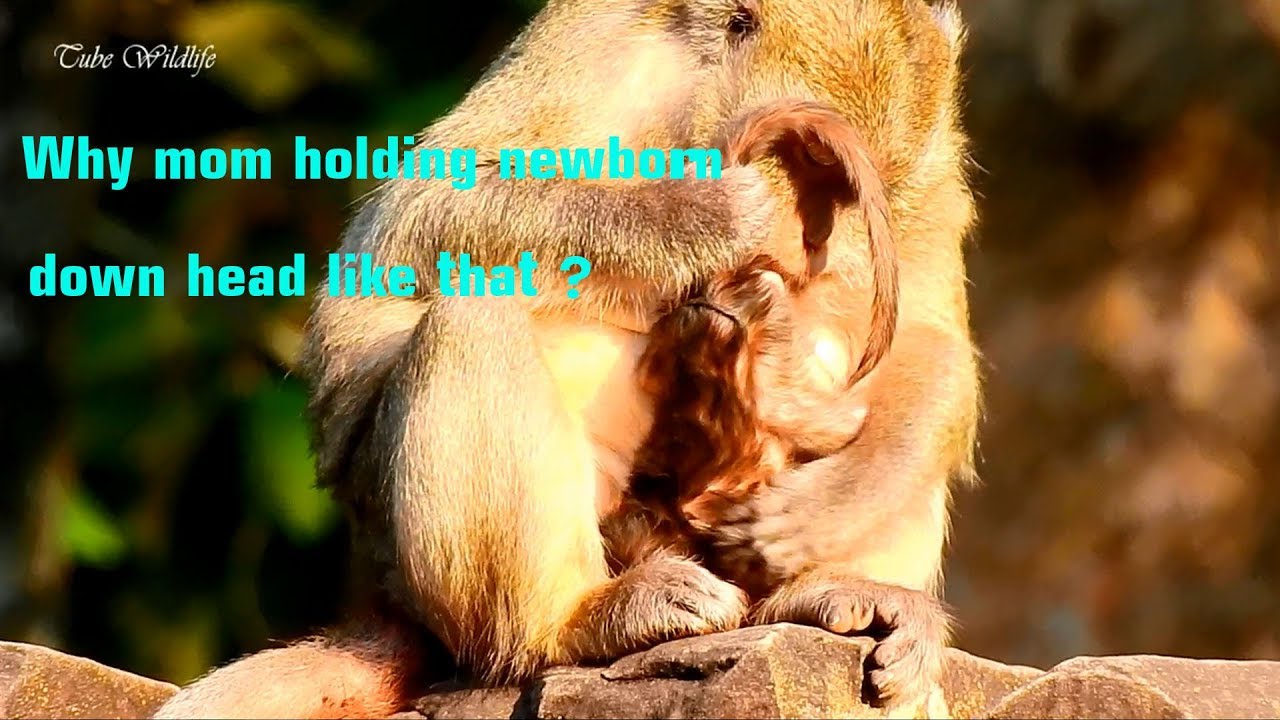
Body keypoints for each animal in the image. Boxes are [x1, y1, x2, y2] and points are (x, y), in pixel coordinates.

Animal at [153, 1, 977, 717]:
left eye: (856, 190)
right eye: (814, 162)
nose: (821, 244)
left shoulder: (932, 155)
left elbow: (934, 338)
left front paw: (835, 499)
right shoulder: (601, 43)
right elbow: (418, 222)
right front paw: (698, 215)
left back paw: (825, 586)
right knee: (475, 308)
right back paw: (570, 623)